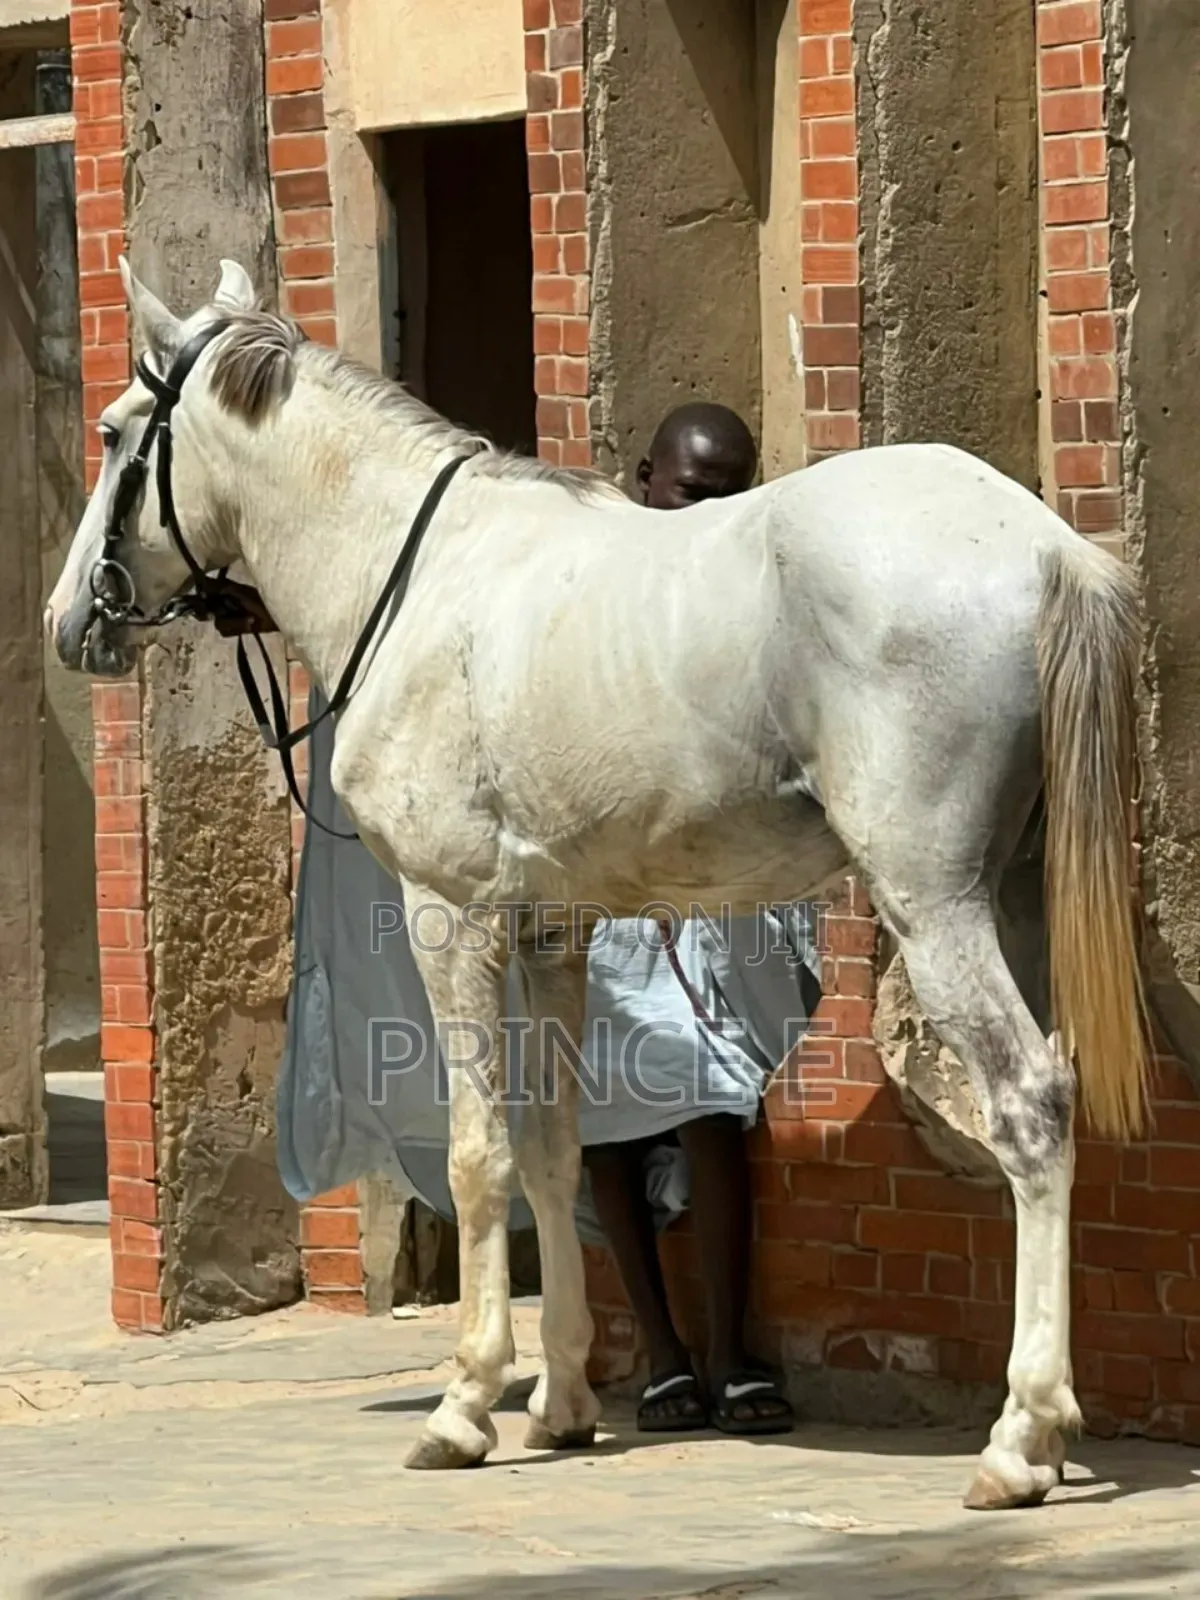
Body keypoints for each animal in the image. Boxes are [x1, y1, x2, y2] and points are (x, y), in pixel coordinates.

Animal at [47, 259, 1147, 1511]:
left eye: (114, 431)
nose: (70, 619)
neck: (414, 578)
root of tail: (1047, 548)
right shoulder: (552, 934)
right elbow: (552, 1147)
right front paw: (564, 1400)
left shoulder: (452, 920)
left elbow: (477, 1155)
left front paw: (467, 1403)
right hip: (1018, 893)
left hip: (938, 905)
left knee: (1028, 1108)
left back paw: (1021, 1437)